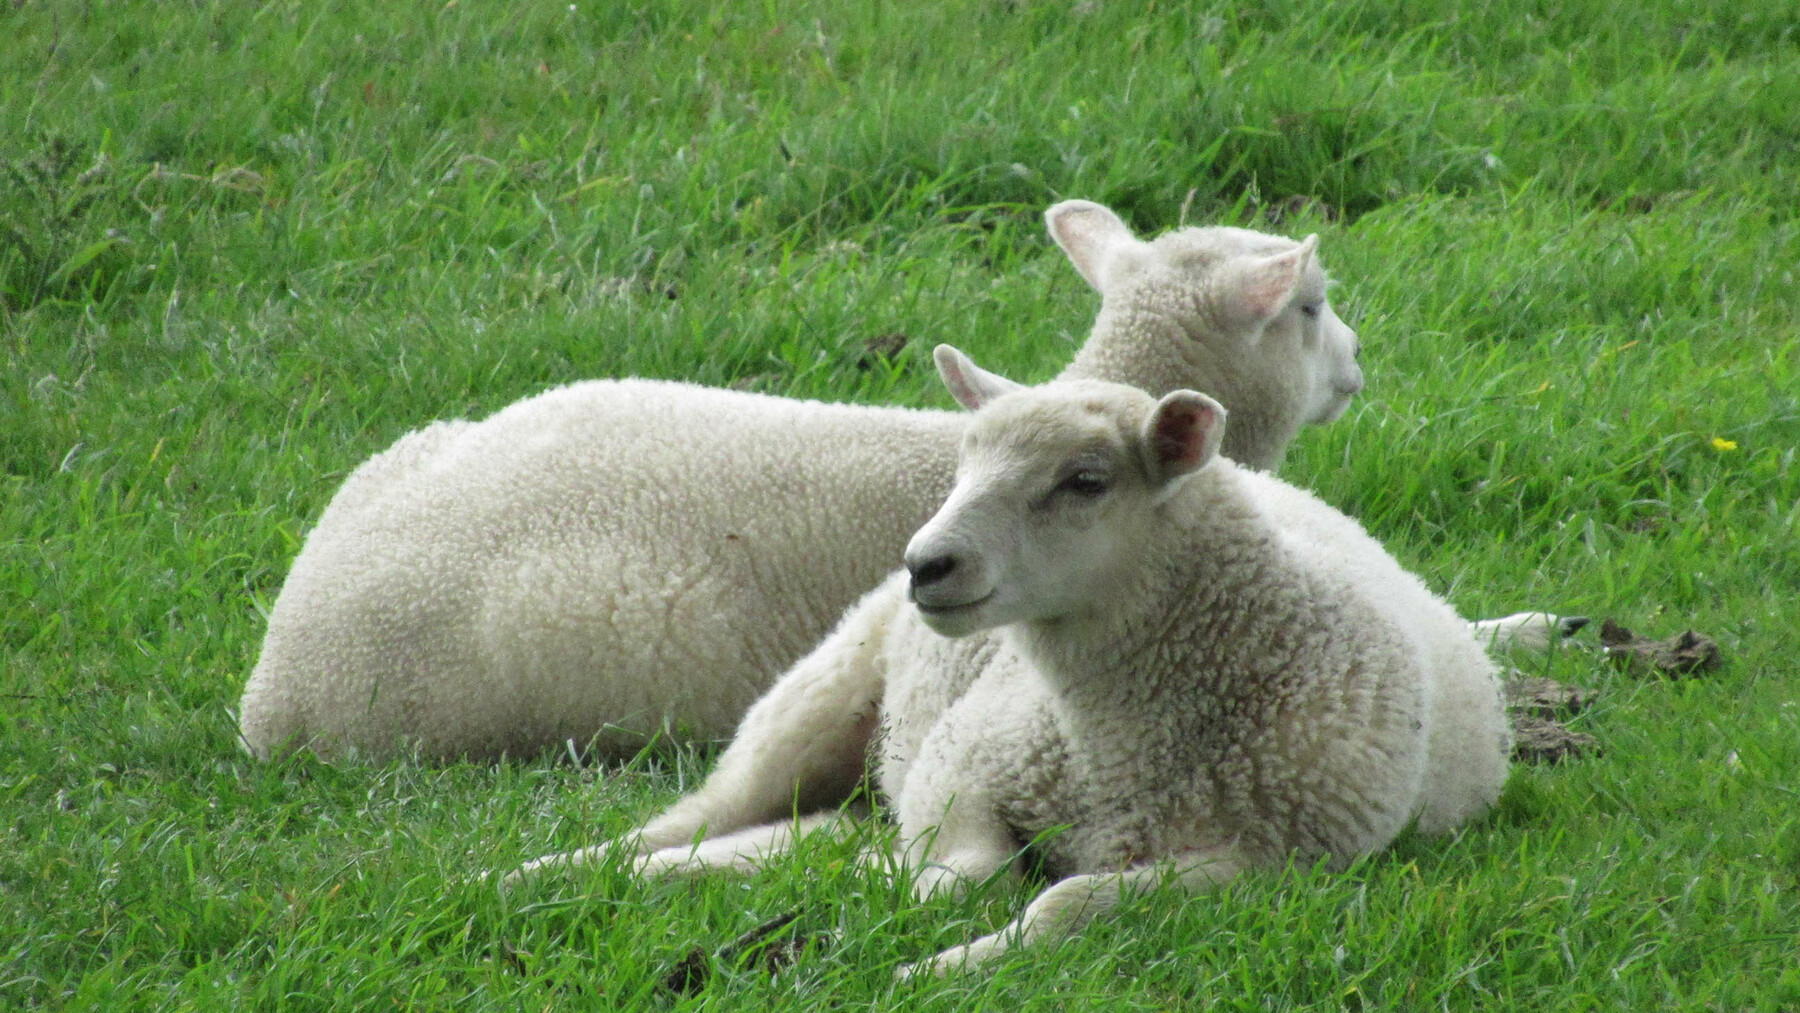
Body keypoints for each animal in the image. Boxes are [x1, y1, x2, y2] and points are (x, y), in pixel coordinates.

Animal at [529, 347, 1512, 977]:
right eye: (960, 464)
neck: (1115, 743)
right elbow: (966, 875)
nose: (926, 564)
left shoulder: (1274, 866)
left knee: (794, 834)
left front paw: (943, 965)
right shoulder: (961, 762)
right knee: (697, 818)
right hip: (822, 689)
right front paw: (911, 931)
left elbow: (1060, 904)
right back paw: (543, 876)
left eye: (1086, 480)